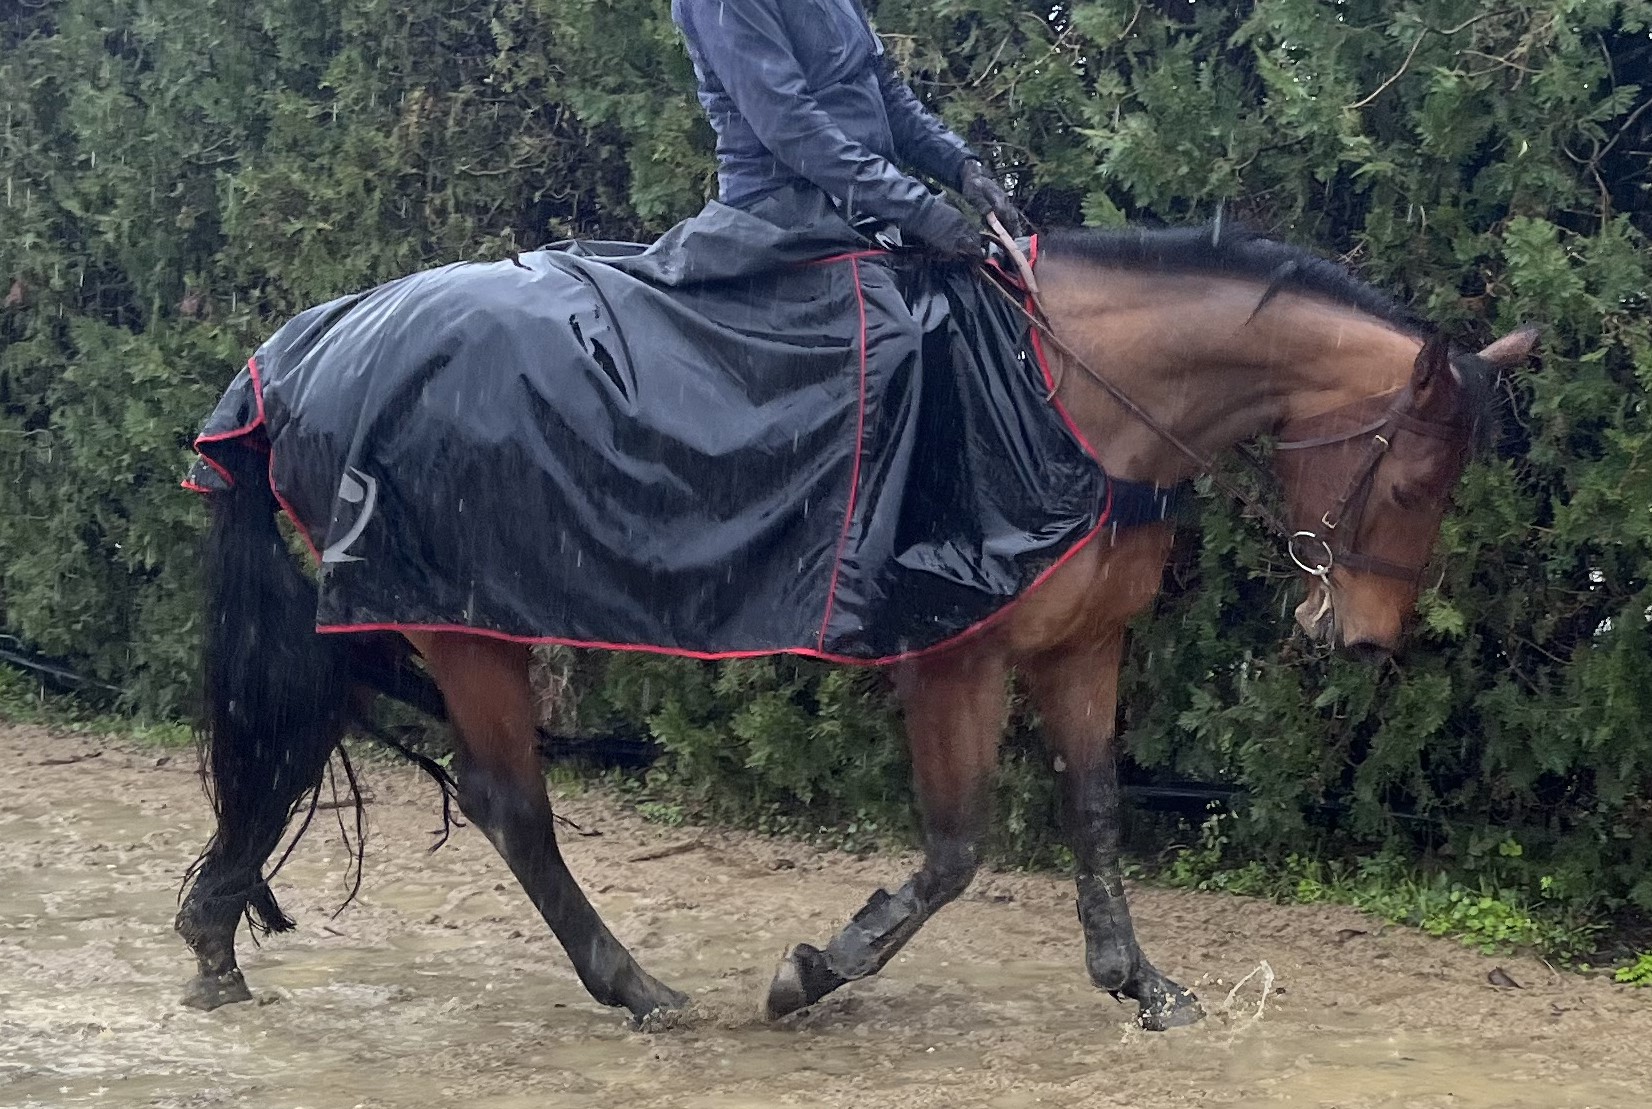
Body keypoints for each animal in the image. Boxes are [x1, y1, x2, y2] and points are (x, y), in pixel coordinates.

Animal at [175, 224, 1538, 1032]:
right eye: (1416, 476)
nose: (1360, 636)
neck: (1061, 393)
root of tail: (300, 353)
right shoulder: (957, 658)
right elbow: (954, 848)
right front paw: (812, 971)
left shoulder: (1082, 650)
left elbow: (1097, 810)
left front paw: (1137, 980)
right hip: (465, 627)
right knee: (508, 803)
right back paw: (634, 983)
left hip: (404, 612)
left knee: (299, 723)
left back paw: (214, 930)